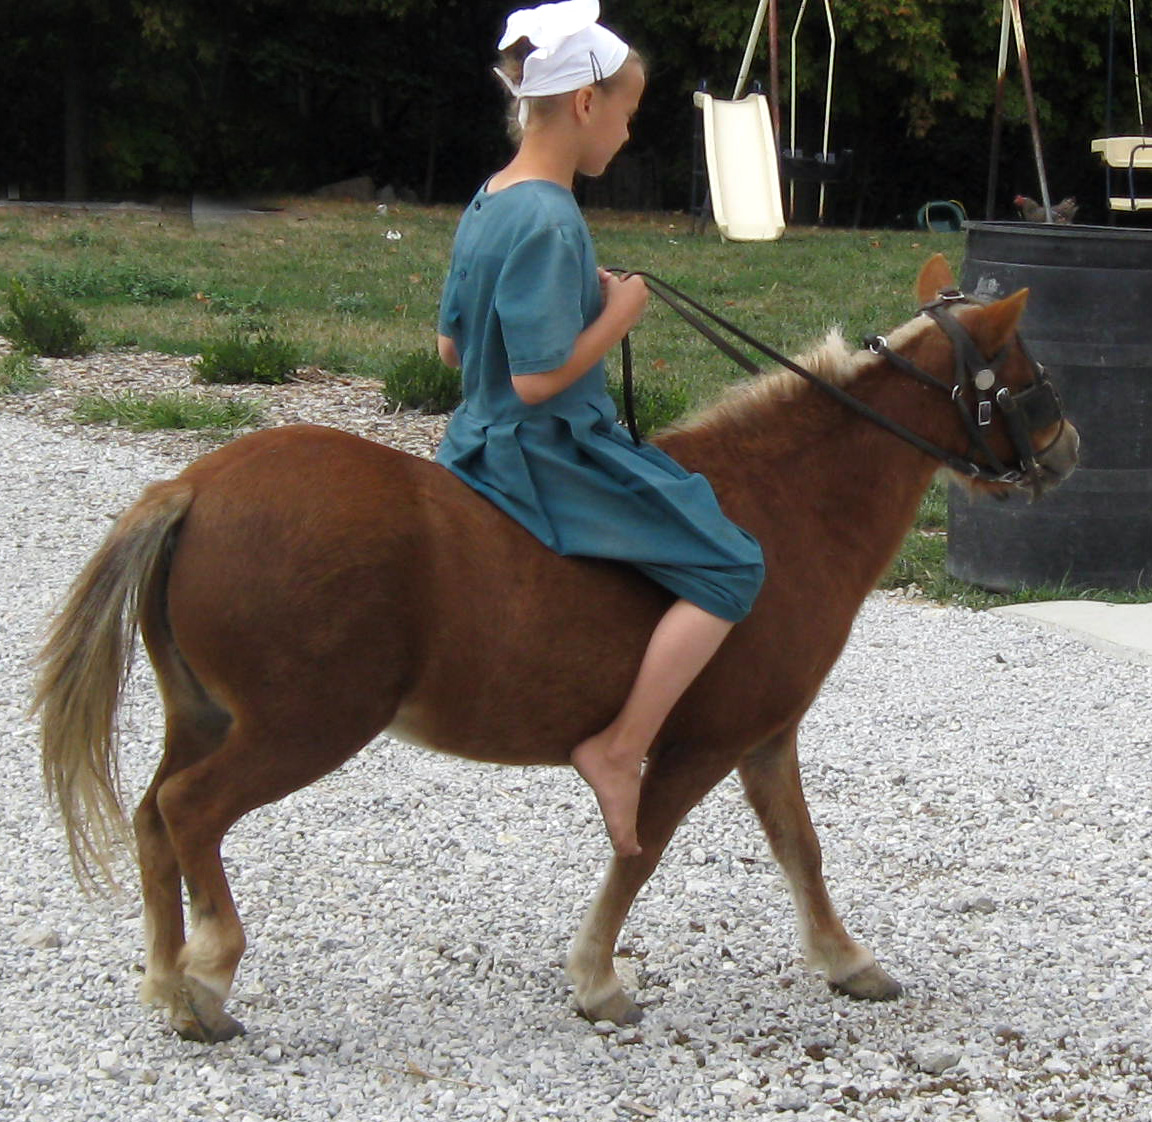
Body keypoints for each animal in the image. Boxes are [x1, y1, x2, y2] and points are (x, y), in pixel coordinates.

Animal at [35, 256, 1079, 1043]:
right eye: (1023, 370)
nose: (1067, 450)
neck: (784, 504)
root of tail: (195, 489)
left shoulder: (764, 738)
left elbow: (800, 848)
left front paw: (845, 959)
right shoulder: (703, 745)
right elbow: (642, 848)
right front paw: (598, 979)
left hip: (207, 716)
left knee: (153, 818)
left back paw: (168, 976)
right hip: (302, 728)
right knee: (191, 812)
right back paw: (208, 975)